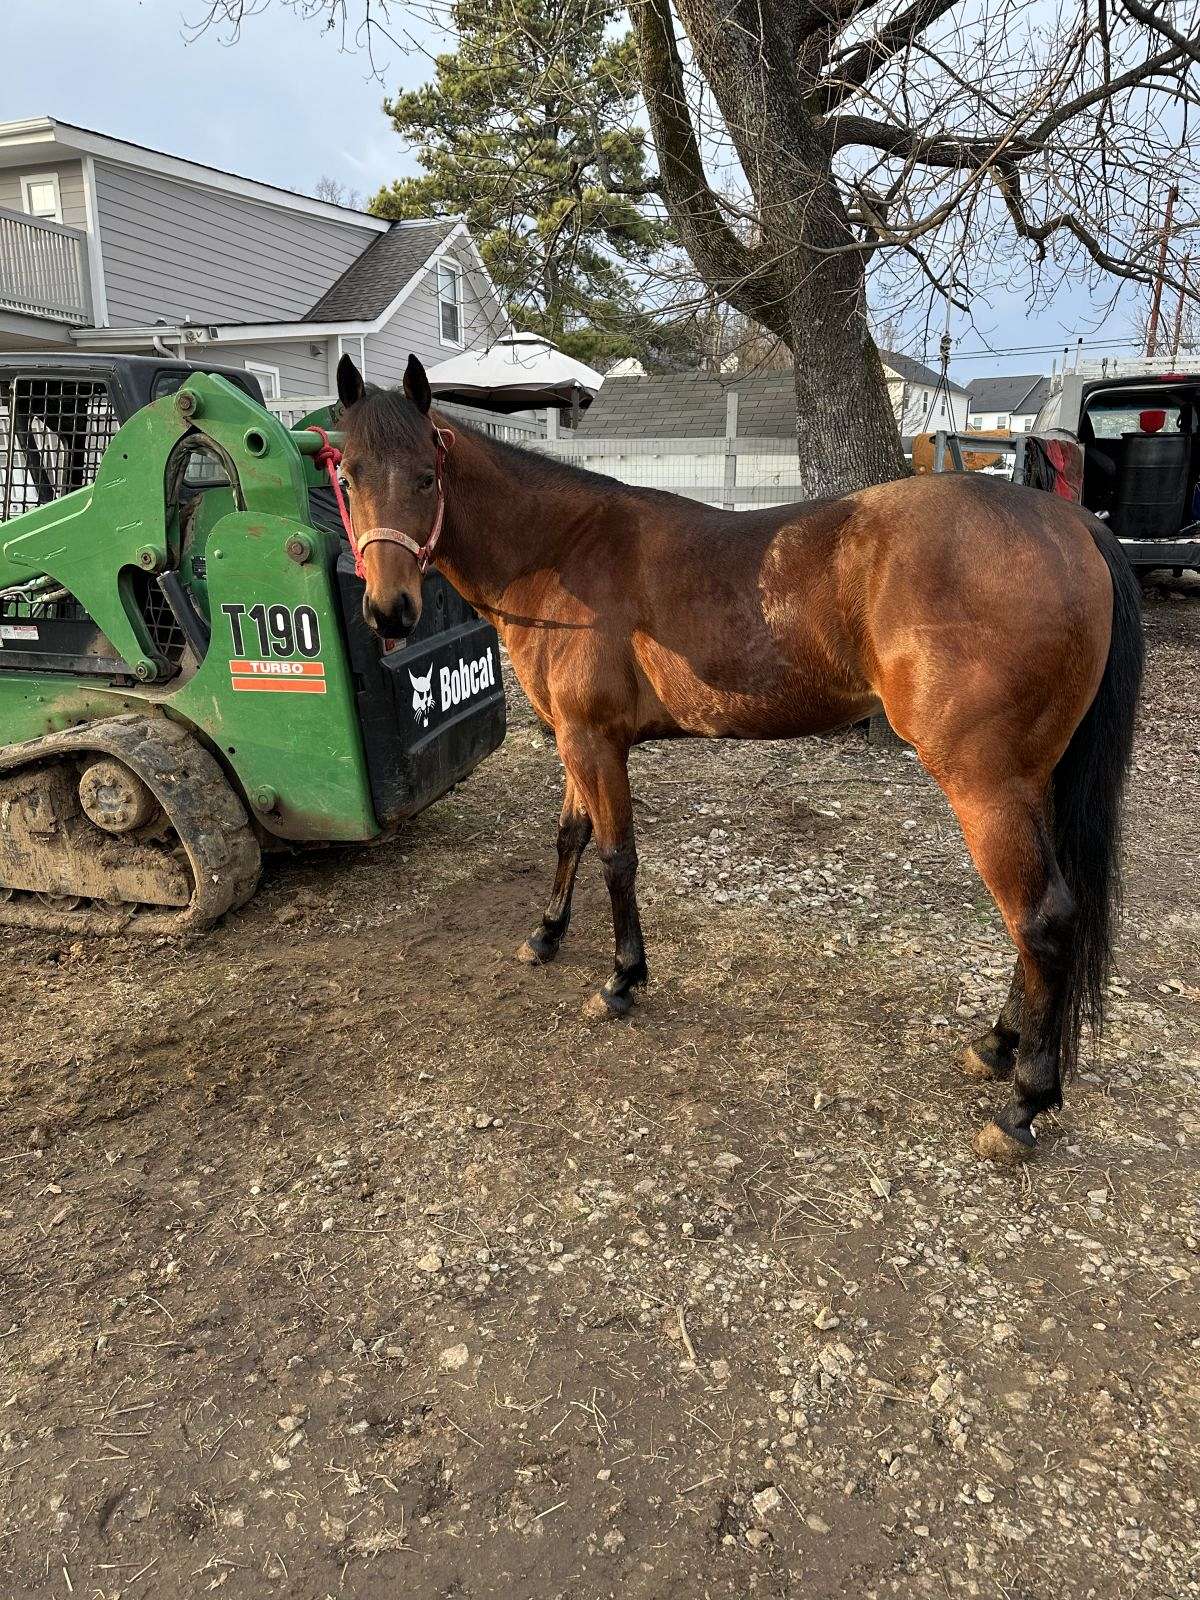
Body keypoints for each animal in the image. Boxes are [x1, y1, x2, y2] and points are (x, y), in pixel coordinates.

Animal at [331, 353, 1143, 1165]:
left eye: (427, 476)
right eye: (349, 472)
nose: (389, 611)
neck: (562, 550)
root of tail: (1070, 526)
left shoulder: (592, 740)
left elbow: (616, 857)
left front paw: (622, 978)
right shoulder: (573, 738)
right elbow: (571, 837)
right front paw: (546, 935)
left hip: (987, 786)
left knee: (1041, 920)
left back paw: (1026, 1101)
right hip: (1031, 783)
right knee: (1040, 918)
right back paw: (999, 1045)